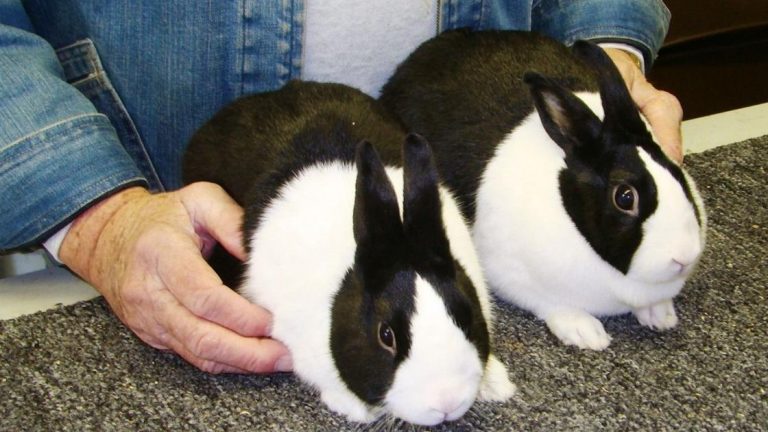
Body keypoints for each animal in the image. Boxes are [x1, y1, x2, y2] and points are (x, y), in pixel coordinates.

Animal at [379, 30, 706, 351]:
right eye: (625, 197)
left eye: (677, 173)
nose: (685, 257)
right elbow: (550, 303)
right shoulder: (509, 274)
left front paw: (660, 314)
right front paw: (585, 332)